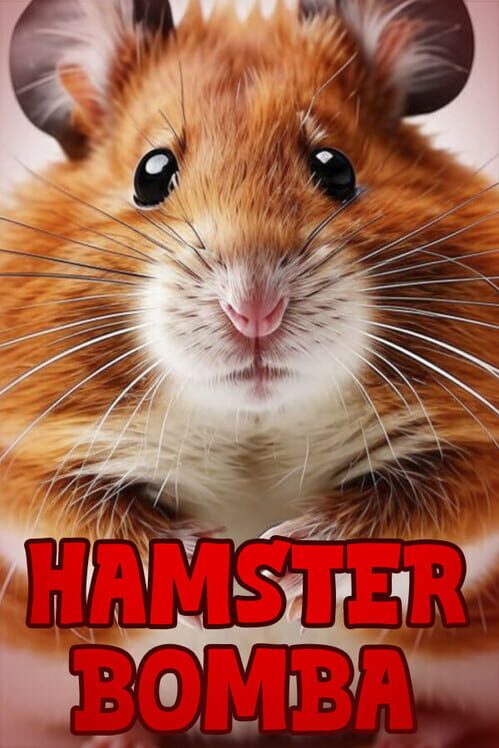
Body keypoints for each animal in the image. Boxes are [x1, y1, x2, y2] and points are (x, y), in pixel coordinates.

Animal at [0, 0, 498, 745]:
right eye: (151, 172)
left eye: (335, 167)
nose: (254, 309)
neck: (253, 426)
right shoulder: (22, 460)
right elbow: (78, 519)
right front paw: (217, 564)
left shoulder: (477, 453)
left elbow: (416, 511)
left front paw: (267, 561)